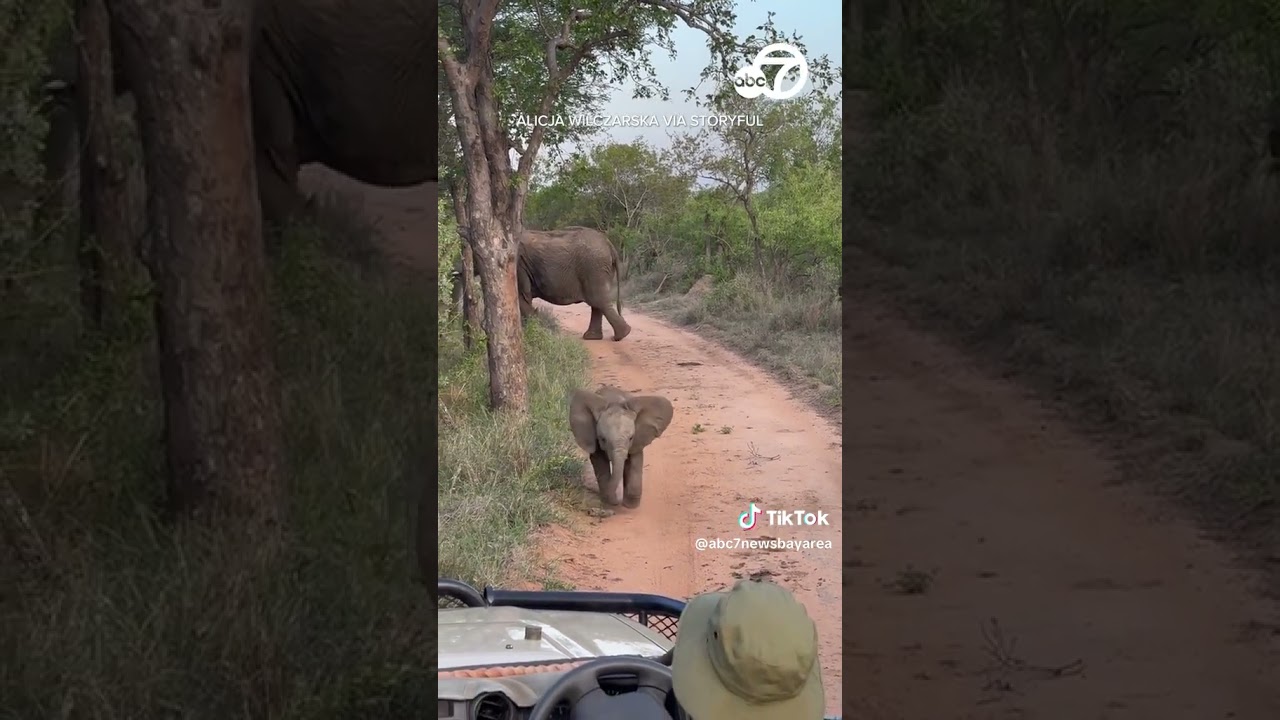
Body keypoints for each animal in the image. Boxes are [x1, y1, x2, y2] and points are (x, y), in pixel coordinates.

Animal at [454, 225, 631, 340]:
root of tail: (609, 244)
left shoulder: (516, 265)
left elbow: (521, 297)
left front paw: (535, 334)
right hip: (597, 269)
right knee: (597, 302)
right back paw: (594, 337)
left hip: (593, 267)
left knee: (597, 300)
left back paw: (621, 336)